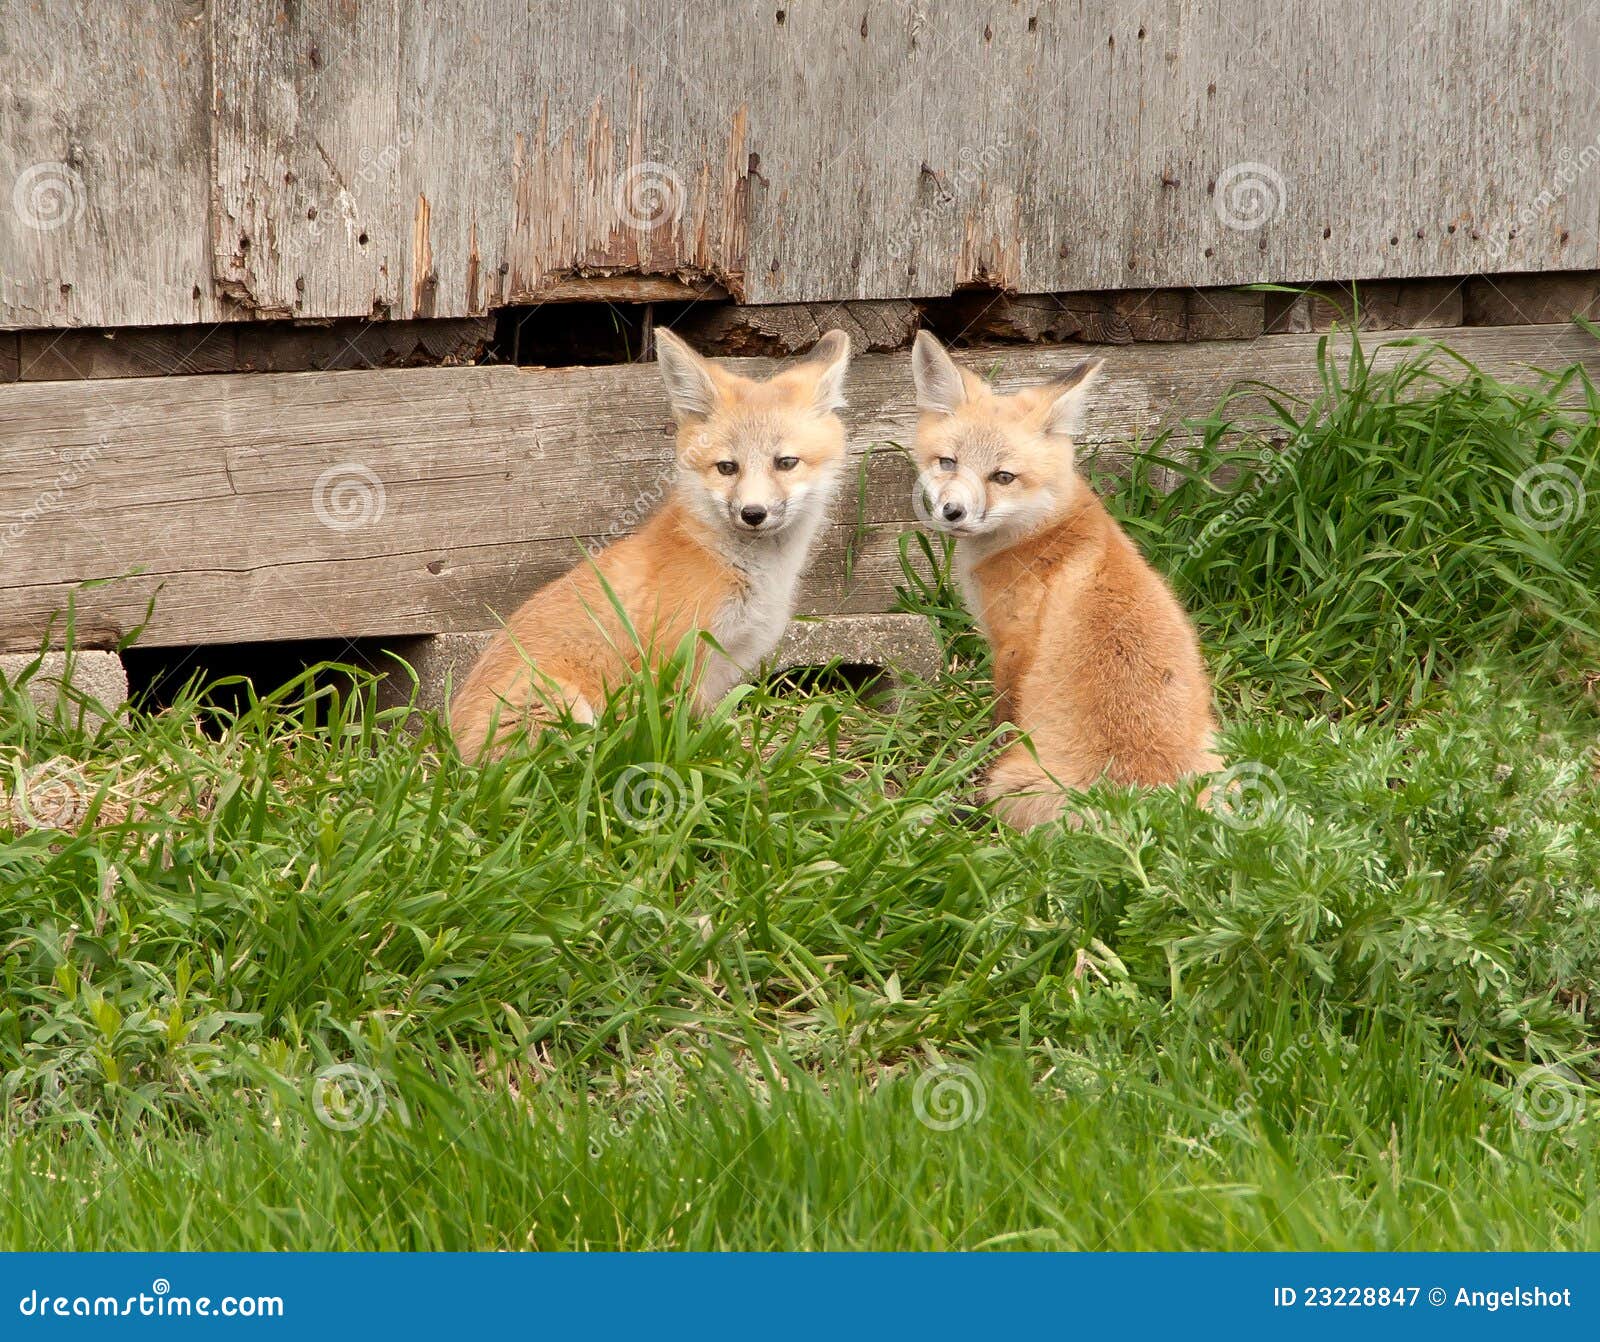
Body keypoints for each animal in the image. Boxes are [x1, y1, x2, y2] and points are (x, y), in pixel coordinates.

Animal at [449, 327, 853, 762]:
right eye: (727, 467)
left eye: (786, 463)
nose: (753, 513)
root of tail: (451, 751)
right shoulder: (674, 661)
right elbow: (679, 742)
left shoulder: (723, 670)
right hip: (566, 710)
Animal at [909, 330, 1220, 829]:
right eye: (947, 463)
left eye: (1003, 476)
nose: (952, 512)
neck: (1041, 532)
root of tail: (1149, 805)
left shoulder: (1014, 644)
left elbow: (1003, 721)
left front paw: (979, 761)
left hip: (1015, 784)